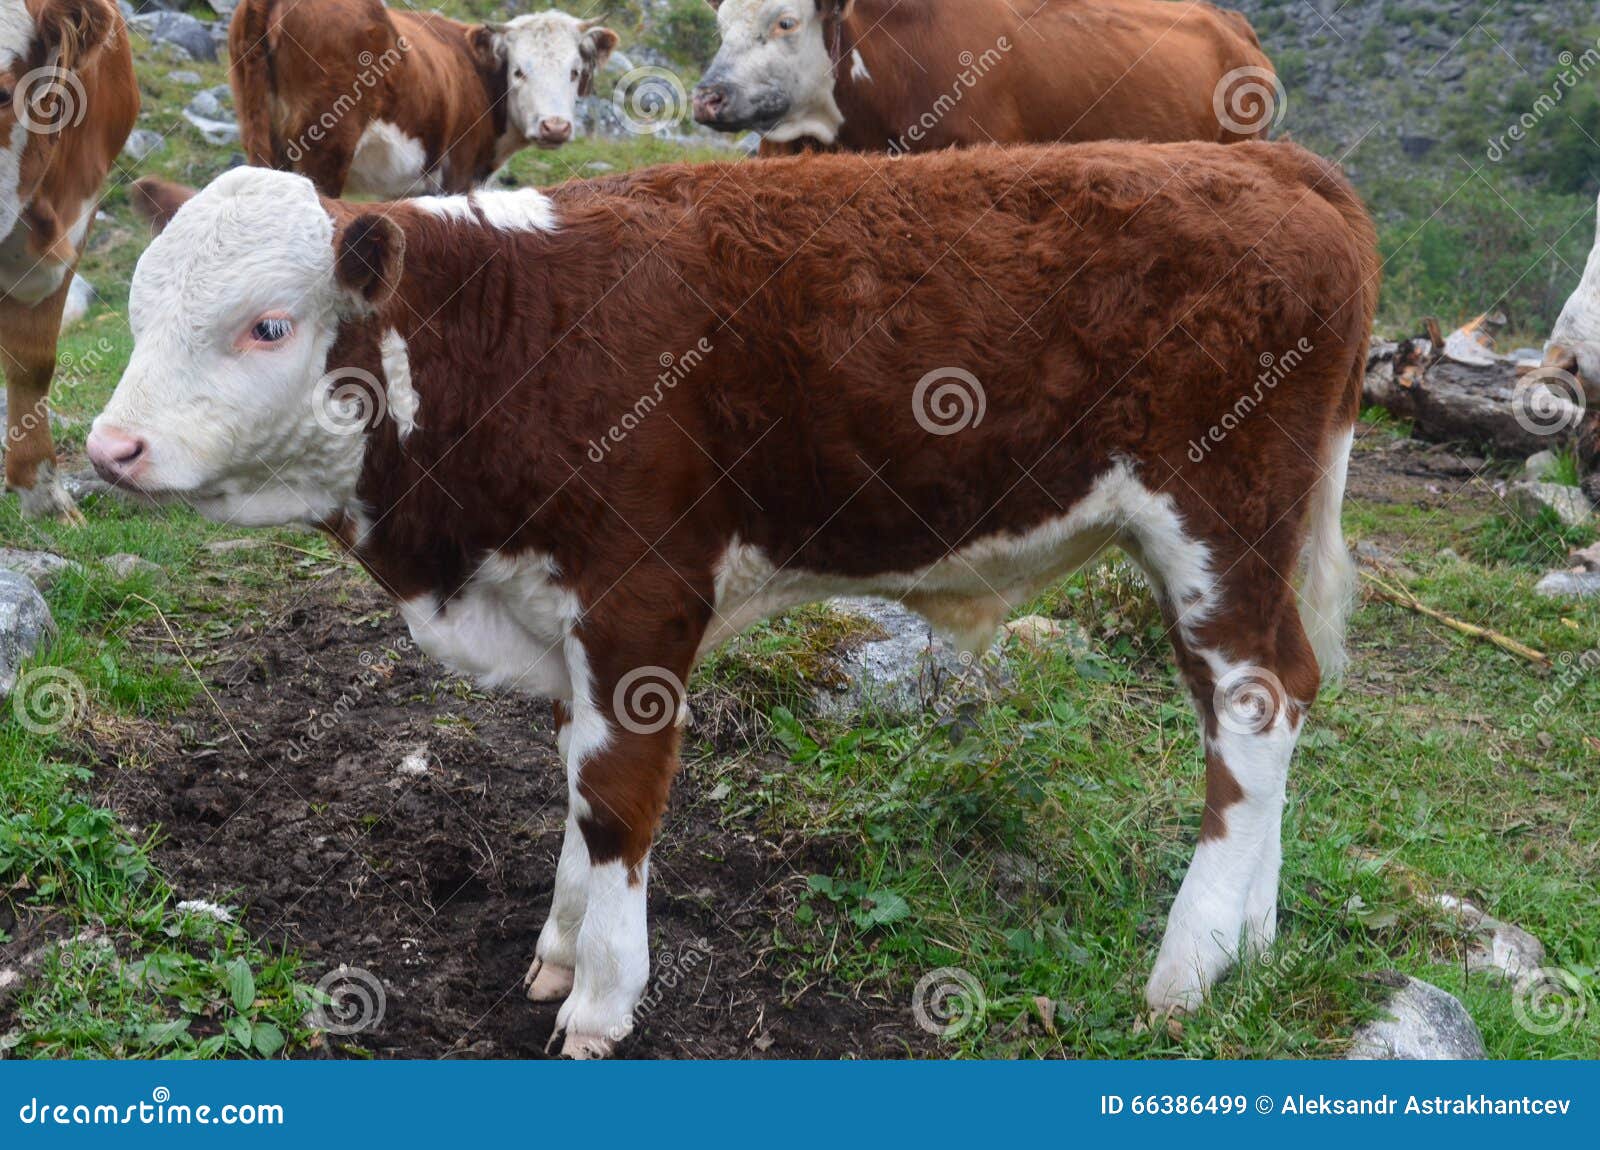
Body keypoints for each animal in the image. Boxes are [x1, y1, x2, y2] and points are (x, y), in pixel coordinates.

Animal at [92, 138, 1377, 1056]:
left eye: (267, 326)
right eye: (138, 309)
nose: (111, 449)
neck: (519, 337)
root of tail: (1269, 162)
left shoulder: (641, 593)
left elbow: (616, 800)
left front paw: (602, 999)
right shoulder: (558, 610)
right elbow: (573, 780)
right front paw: (558, 949)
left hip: (1217, 519)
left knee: (1252, 706)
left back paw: (1188, 968)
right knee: (1291, 691)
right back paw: (1255, 941)